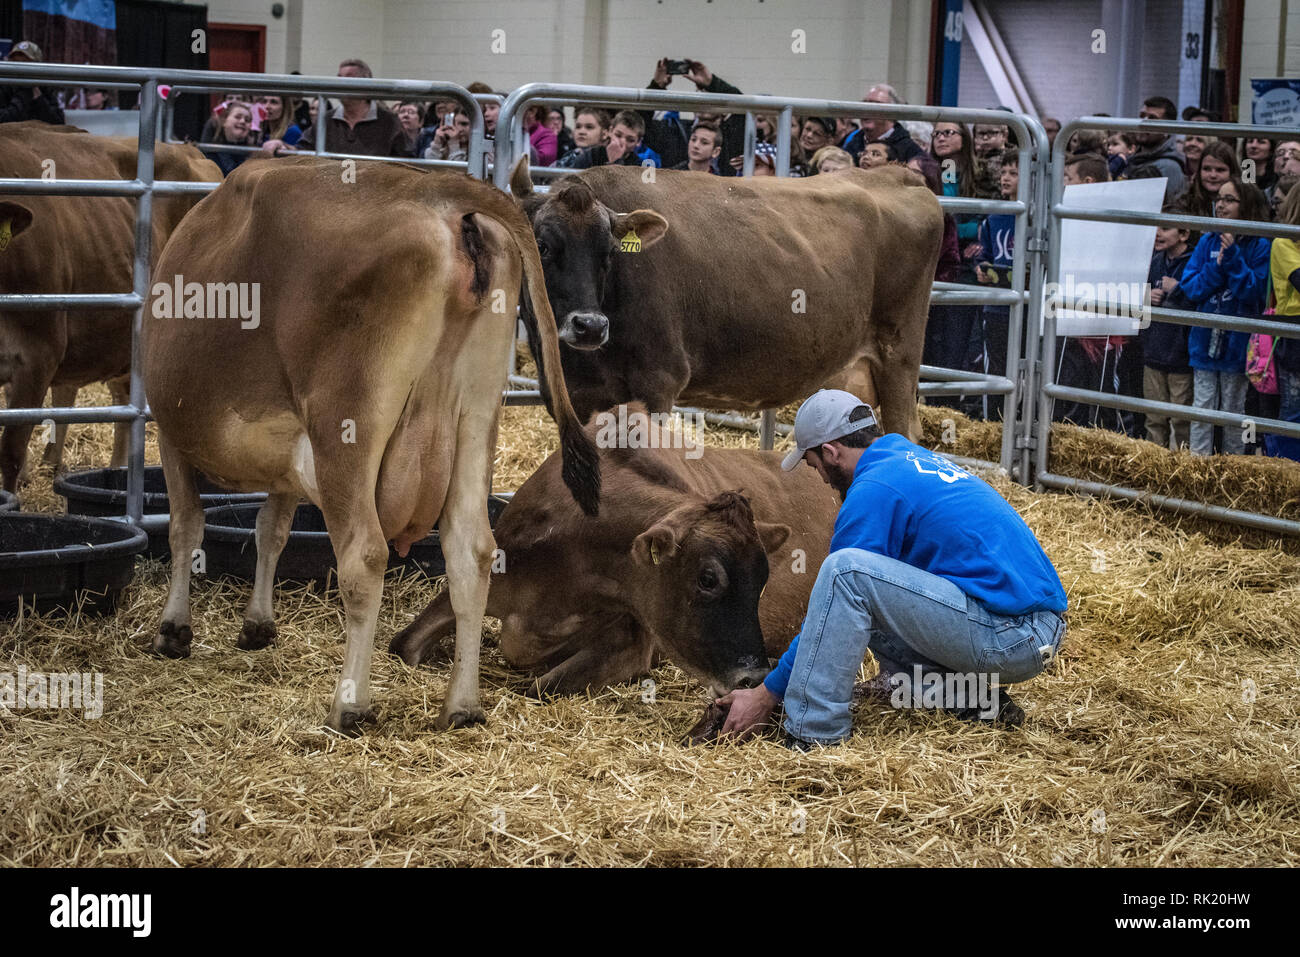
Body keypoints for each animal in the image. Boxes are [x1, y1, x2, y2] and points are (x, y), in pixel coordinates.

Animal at [143, 156, 600, 733]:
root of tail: (441, 191)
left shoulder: (170, 432)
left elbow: (186, 526)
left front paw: (174, 629)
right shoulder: (289, 458)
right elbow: (271, 529)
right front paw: (258, 624)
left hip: (347, 427)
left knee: (364, 555)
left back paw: (351, 704)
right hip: (475, 417)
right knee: (472, 552)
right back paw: (462, 706)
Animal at [390, 407, 837, 698]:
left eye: (762, 580)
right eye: (708, 578)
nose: (755, 677)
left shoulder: (635, 643)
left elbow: (539, 687)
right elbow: (403, 644)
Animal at [509, 160, 943, 441]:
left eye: (609, 253)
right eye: (542, 246)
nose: (590, 326)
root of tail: (896, 174)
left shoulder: (658, 384)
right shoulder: (573, 397)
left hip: (899, 354)